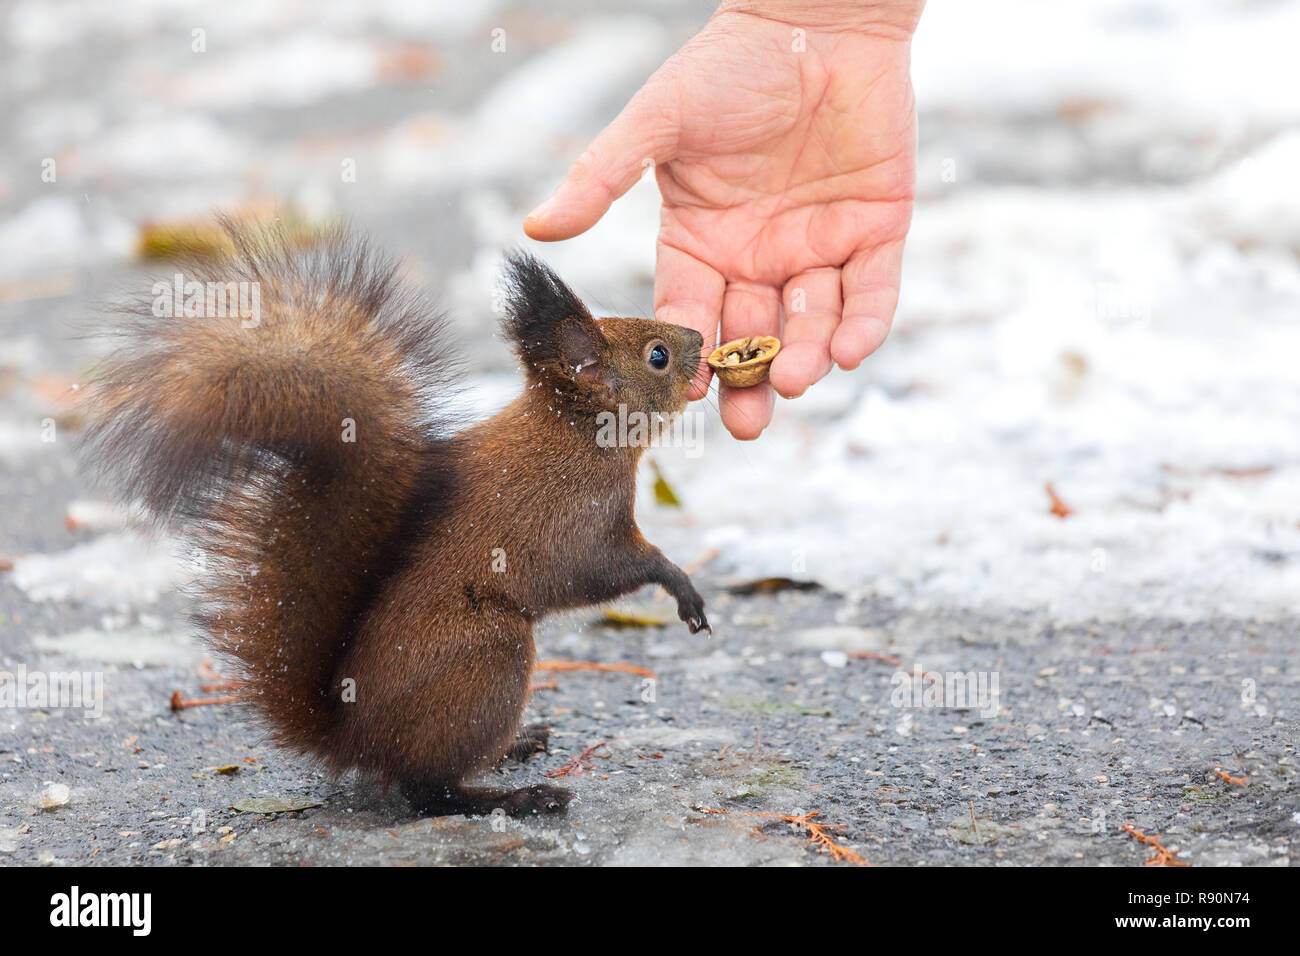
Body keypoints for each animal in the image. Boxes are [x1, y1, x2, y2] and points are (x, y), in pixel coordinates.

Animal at [83, 223, 709, 817]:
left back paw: (518, 746)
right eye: (657, 355)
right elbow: (606, 569)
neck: (577, 433)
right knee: (428, 791)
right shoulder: (576, 520)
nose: (702, 338)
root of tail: (354, 740)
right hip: (489, 656)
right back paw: (516, 797)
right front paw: (681, 587)